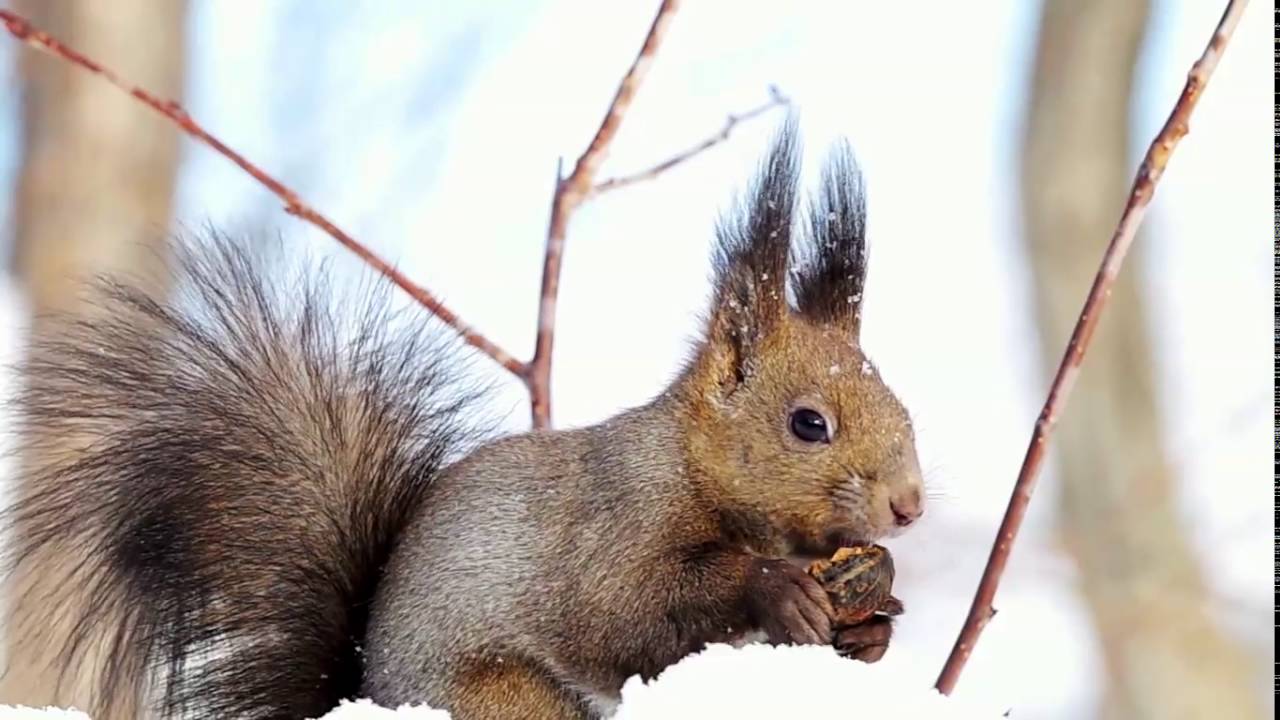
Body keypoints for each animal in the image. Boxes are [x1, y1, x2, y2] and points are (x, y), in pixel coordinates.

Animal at [0, 124, 925, 720]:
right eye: (808, 424)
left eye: (905, 409)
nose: (909, 506)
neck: (691, 466)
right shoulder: (613, 528)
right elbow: (628, 613)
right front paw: (775, 589)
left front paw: (873, 618)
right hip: (504, 698)